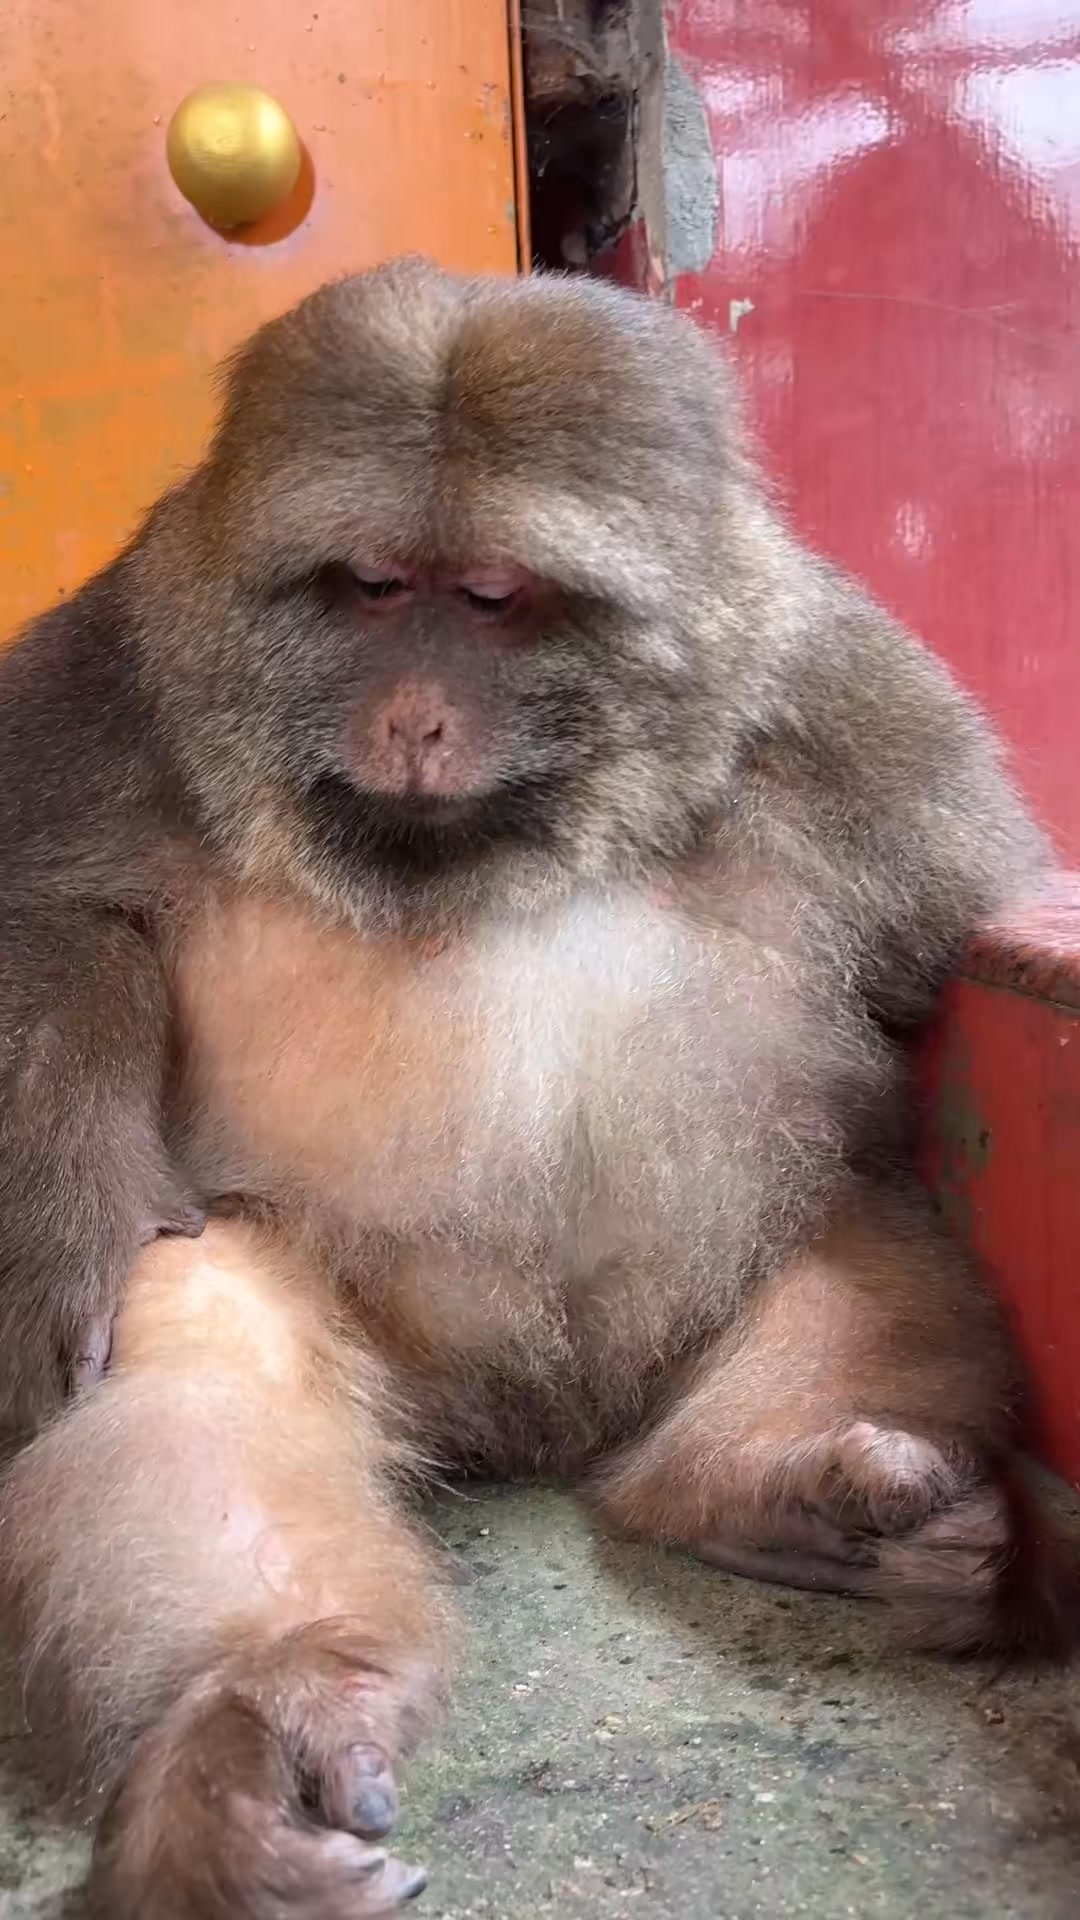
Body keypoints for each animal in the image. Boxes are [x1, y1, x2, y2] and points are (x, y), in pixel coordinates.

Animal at [0, 257, 1072, 1917]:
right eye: (377, 588)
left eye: (494, 600)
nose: (414, 714)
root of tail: (529, 1434)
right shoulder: (113, 674)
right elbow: (56, 920)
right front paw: (68, 1204)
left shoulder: (854, 705)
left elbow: (967, 922)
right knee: (189, 1312)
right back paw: (255, 1724)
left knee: (856, 1239)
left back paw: (787, 1489)